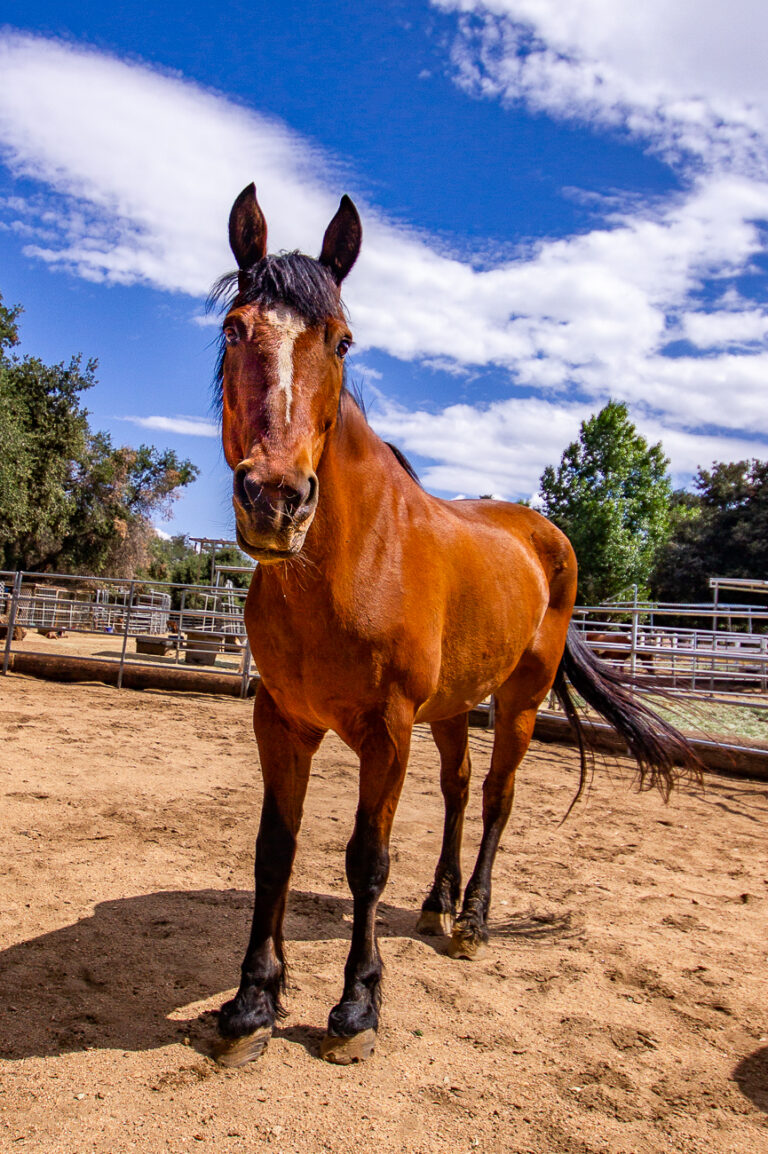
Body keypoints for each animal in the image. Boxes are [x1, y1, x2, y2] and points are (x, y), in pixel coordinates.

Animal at [210, 184, 700, 1067]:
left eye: (342, 341)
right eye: (236, 329)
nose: (276, 499)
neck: (344, 562)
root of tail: (546, 536)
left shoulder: (386, 729)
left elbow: (366, 860)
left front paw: (356, 1008)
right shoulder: (282, 720)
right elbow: (274, 852)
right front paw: (251, 1004)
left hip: (519, 704)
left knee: (498, 798)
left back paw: (470, 918)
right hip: (450, 710)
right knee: (459, 790)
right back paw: (438, 902)